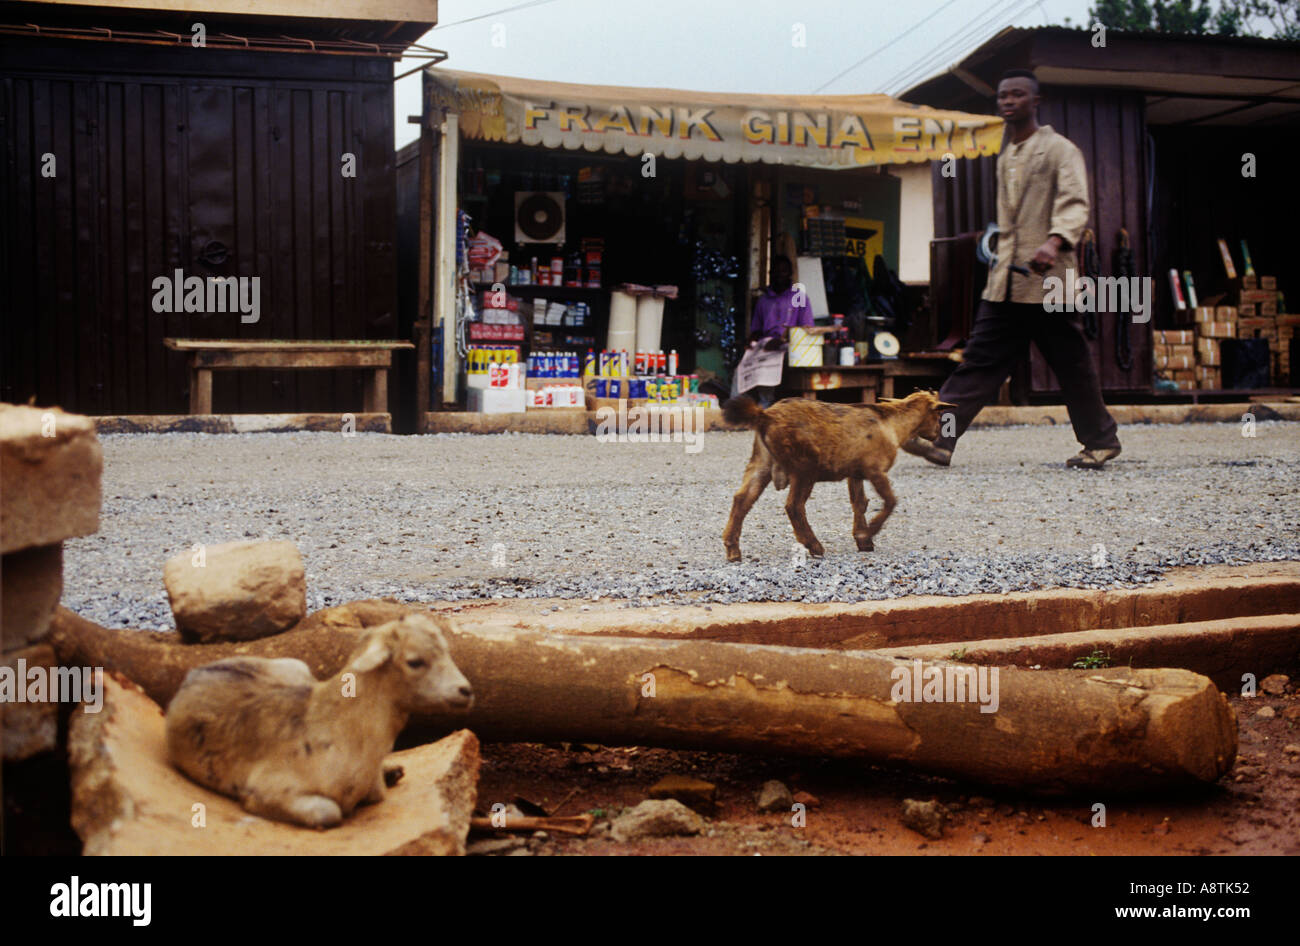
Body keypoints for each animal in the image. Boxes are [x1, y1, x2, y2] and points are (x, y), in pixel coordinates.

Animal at [164, 612, 473, 829]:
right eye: (414, 661)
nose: (466, 690)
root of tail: (197, 671)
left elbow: (376, 793)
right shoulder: (268, 789)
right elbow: (328, 812)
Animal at [721, 390, 954, 562]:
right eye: (938, 415)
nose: (936, 435)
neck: (893, 423)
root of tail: (765, 416)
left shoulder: (855, 473)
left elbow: (859, 503)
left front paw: (863, 540)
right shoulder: (875, 470)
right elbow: (890, 501)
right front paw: (868, 533)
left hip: (761, 463)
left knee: (742, 499)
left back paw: (733, 550)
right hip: (804, 469)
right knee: (794, 506)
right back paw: (814, 546)